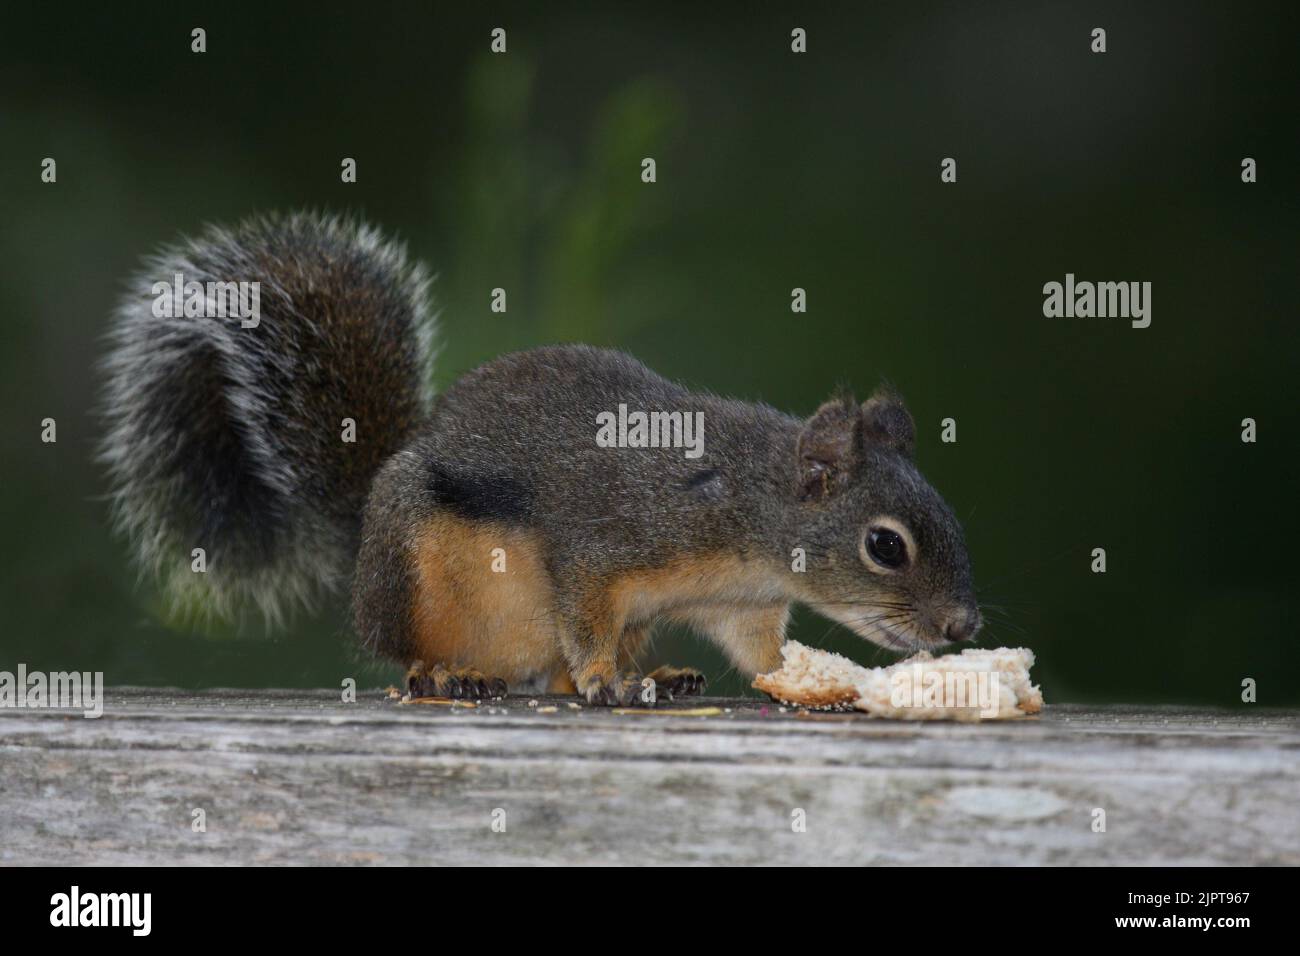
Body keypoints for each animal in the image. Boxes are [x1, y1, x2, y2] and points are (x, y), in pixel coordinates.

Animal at [100, 211, 981, 705]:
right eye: (886, 546)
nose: (964, 624)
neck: (745, 509)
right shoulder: (605, 544)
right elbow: (586, 613)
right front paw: (597, 677)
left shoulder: (741, 605)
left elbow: (757, 651)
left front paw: (808, 684)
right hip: (413, 572)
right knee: (408, 651)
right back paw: (453, 677)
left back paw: (653, 677)